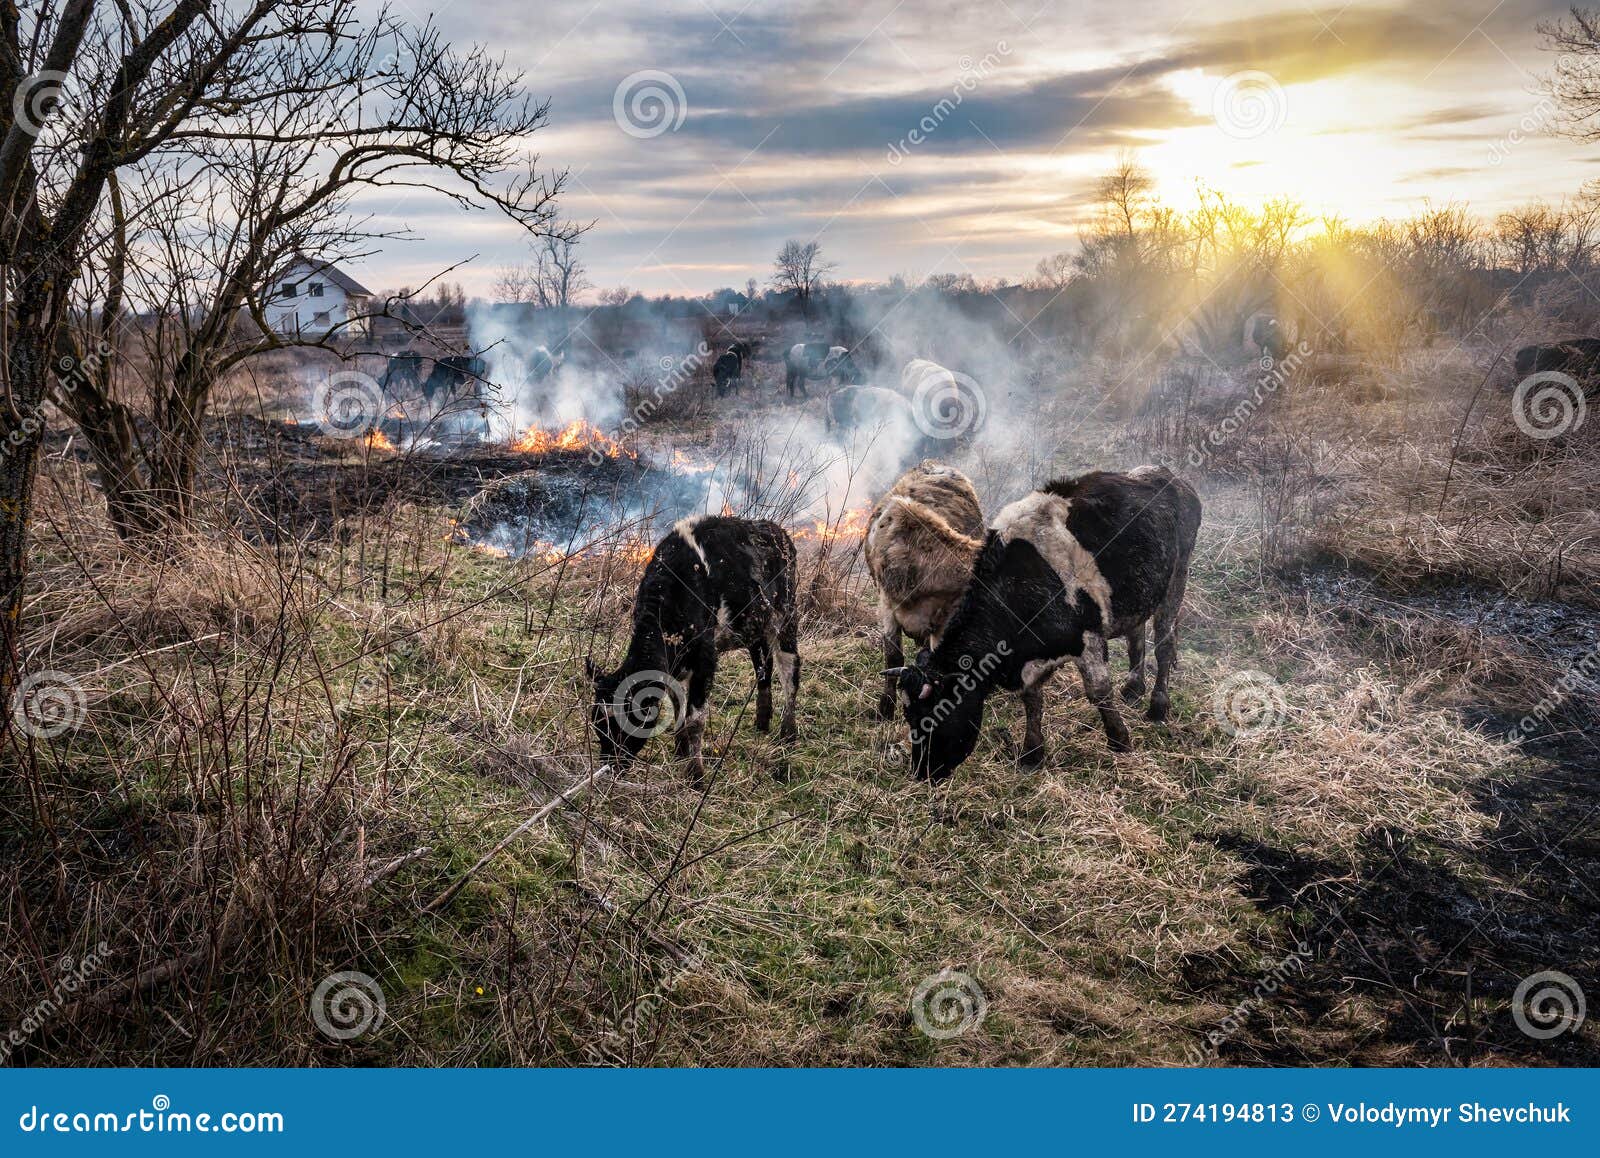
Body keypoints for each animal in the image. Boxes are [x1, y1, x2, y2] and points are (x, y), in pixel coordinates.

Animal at [587, 516, 800, 784]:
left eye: (628, 720)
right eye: (599, 724)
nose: (612, 767)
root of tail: (774, 529)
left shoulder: (705, 657)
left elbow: (695, 719)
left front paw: (696, 776)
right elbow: (679, 704)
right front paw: (680, 751)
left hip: (786, 616)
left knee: (790, 673)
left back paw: (788, 734)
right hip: (754, 625)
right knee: (763, 664)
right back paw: (762, 722)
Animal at [889, 466, 1202, 782]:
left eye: (935, 715)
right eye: (909, 716)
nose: (922, 771)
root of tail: (1167, 474)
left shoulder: (1088, 637)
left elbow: (1099, 691)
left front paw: (1119, 740)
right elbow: (1032, 699)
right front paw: (1032, 753)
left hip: (1177, 577)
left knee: (1164, 644)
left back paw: (1158, 706)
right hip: (1139, 593)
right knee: (1136, 635)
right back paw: (1134, 689)